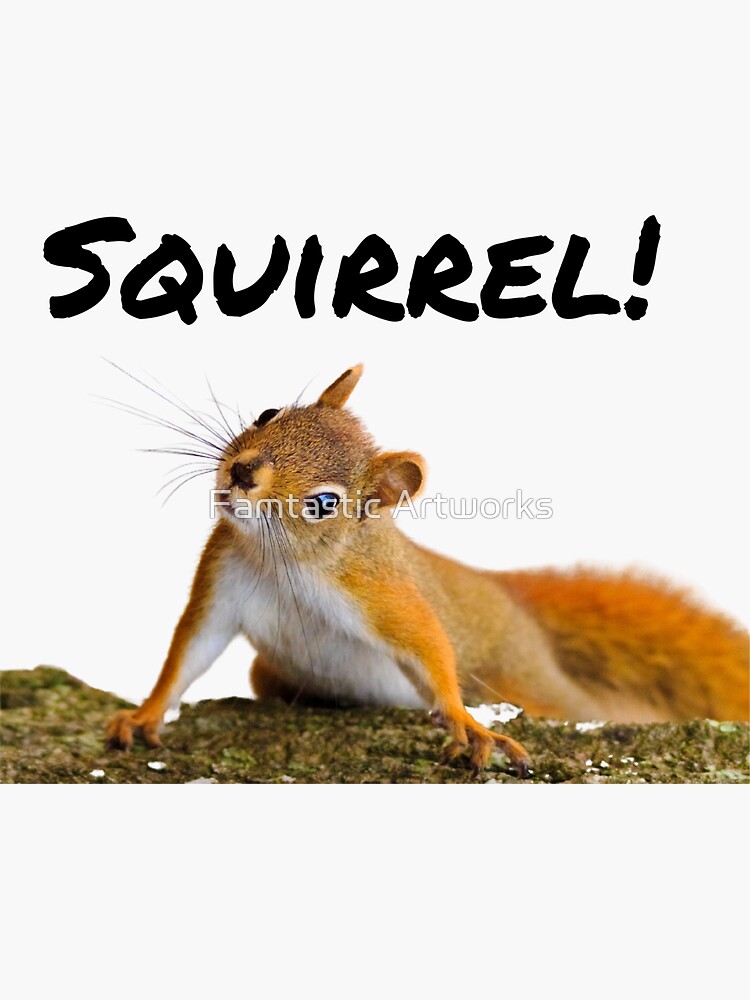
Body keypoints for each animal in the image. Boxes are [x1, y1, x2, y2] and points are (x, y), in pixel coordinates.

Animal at [106, 365, 749, 774]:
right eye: (269, 412)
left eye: (324, 504)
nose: (243, 472)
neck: (281, 561)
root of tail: (509, 603)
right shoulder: (222, 576)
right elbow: (191, 650)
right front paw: (145, 712)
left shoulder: (376, 590)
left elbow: (427, 643)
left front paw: (470, 724)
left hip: (527, 679)